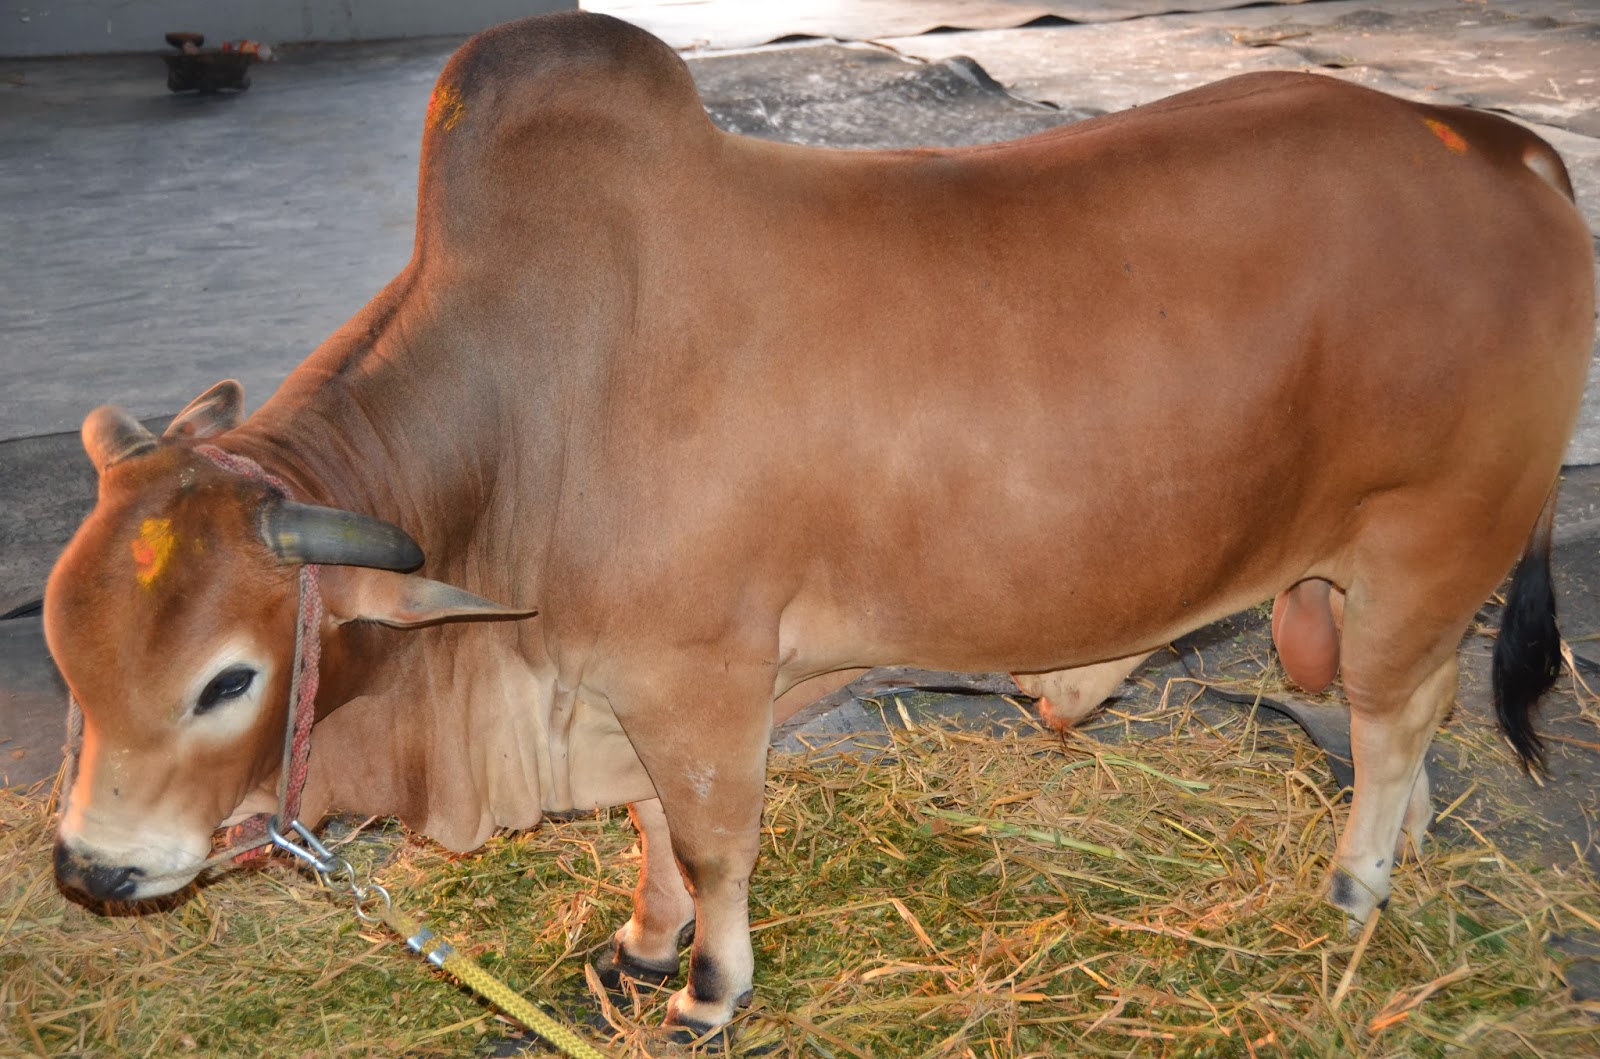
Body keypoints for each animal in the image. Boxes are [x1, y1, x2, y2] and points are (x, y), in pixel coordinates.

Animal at [44, 11, 1594, 1037]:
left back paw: (1351, 888)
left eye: (229, 680)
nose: (88, 865)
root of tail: (1500, 142)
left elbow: (715, 841)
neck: (539, 404)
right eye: (65, 657)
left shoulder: (699, 681)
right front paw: (644, 944)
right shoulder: (630, 687)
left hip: (1420, 556)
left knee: (1400, 725)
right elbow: (653, 832)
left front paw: (710, 991)